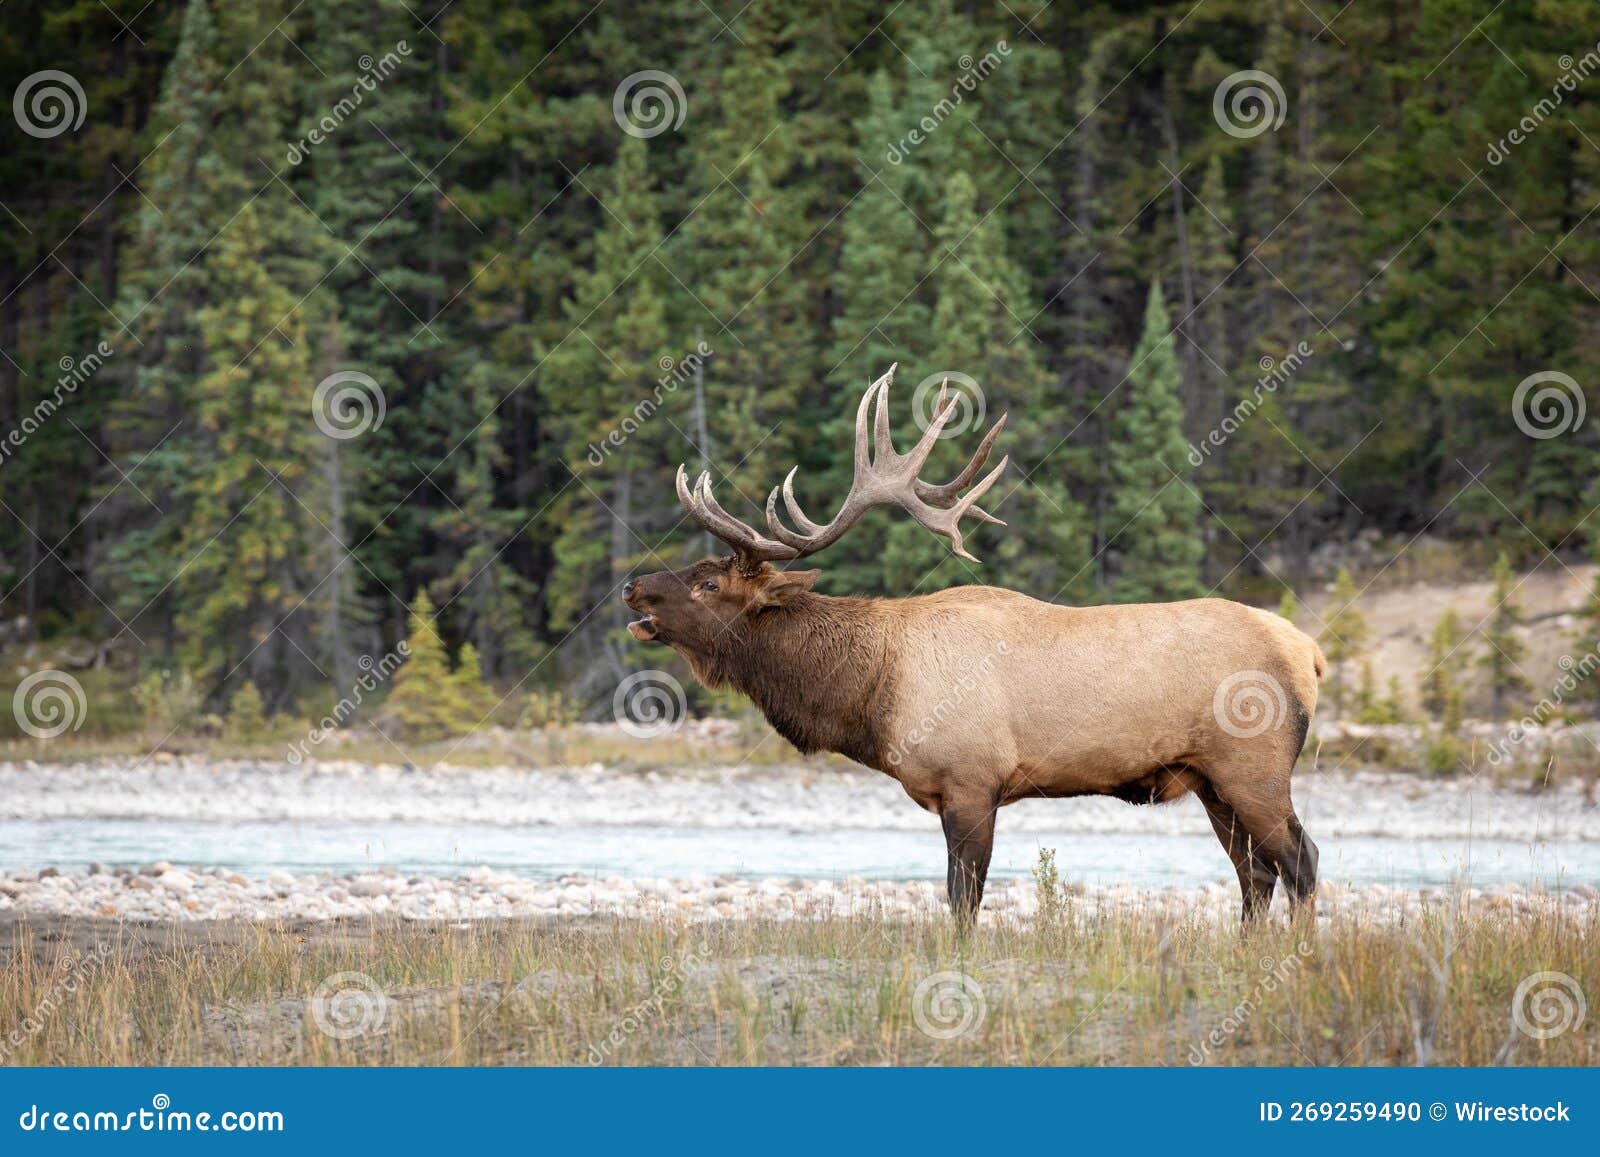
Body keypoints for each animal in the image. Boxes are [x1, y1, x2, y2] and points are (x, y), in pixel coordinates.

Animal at [622, 365, 1324, 927]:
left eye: (708, 583)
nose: (632, 586)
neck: (874, 694)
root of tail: (1309, 653)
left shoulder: (970, 781)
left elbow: (964, 901)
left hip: (1253, 767)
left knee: (1300, 861)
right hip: (1210, 781)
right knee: (1255, 874)